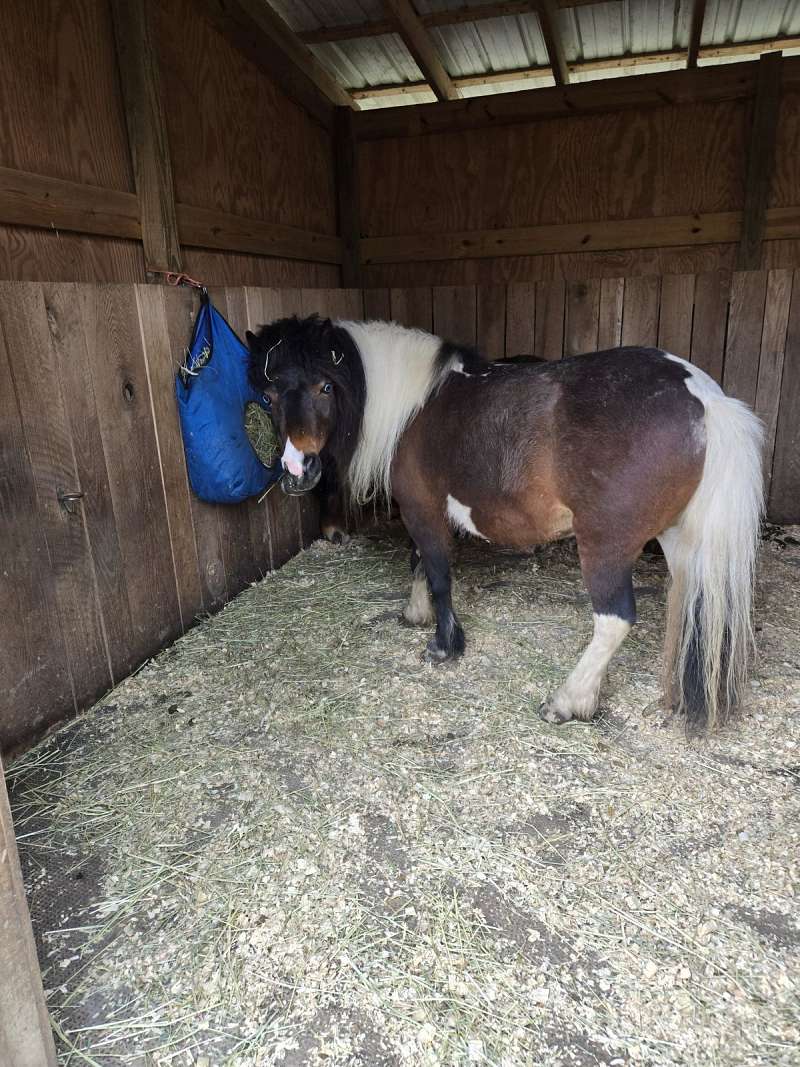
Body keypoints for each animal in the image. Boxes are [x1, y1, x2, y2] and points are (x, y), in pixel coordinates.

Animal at [245, 315, 764, 733]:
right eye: (268, 395)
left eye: (325, 386)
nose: (296, 468)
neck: (415, 406)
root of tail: (706, 398)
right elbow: (419, 563)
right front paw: (416, 614)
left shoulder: (421, 507)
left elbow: (437, 572)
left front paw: (443, 645)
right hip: (679, 538)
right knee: (689, 604)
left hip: (606, 545)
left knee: (614, 620)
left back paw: (570, 700)